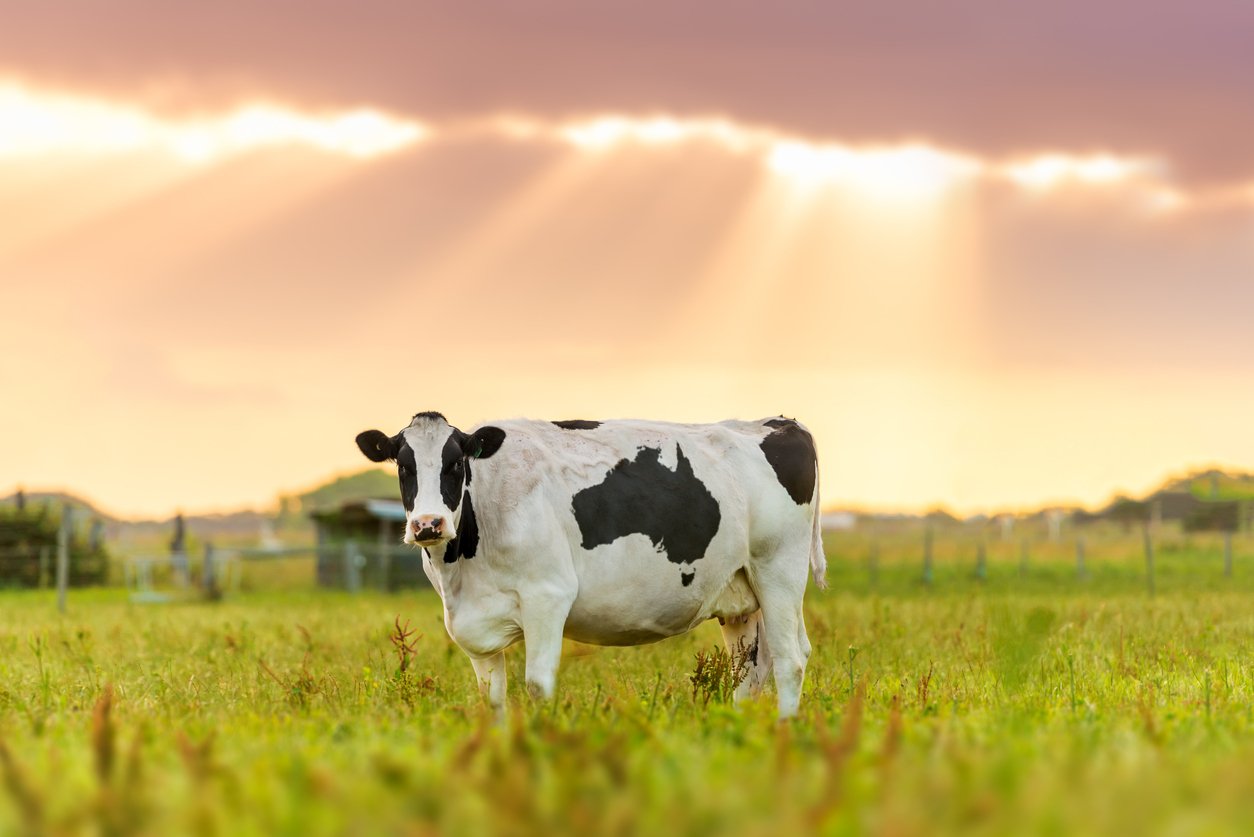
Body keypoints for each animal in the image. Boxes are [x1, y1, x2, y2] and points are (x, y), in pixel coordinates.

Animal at [354, 412, 825, 718]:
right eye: (403, 466)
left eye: (455, 463)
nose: (427, 524)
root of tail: (780, 421)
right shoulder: (475, 625)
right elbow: (492, 698)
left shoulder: (547, 596)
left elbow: (538, 685)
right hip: (740, 593)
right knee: (750, 667)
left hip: (779, 570)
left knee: (790, 658)